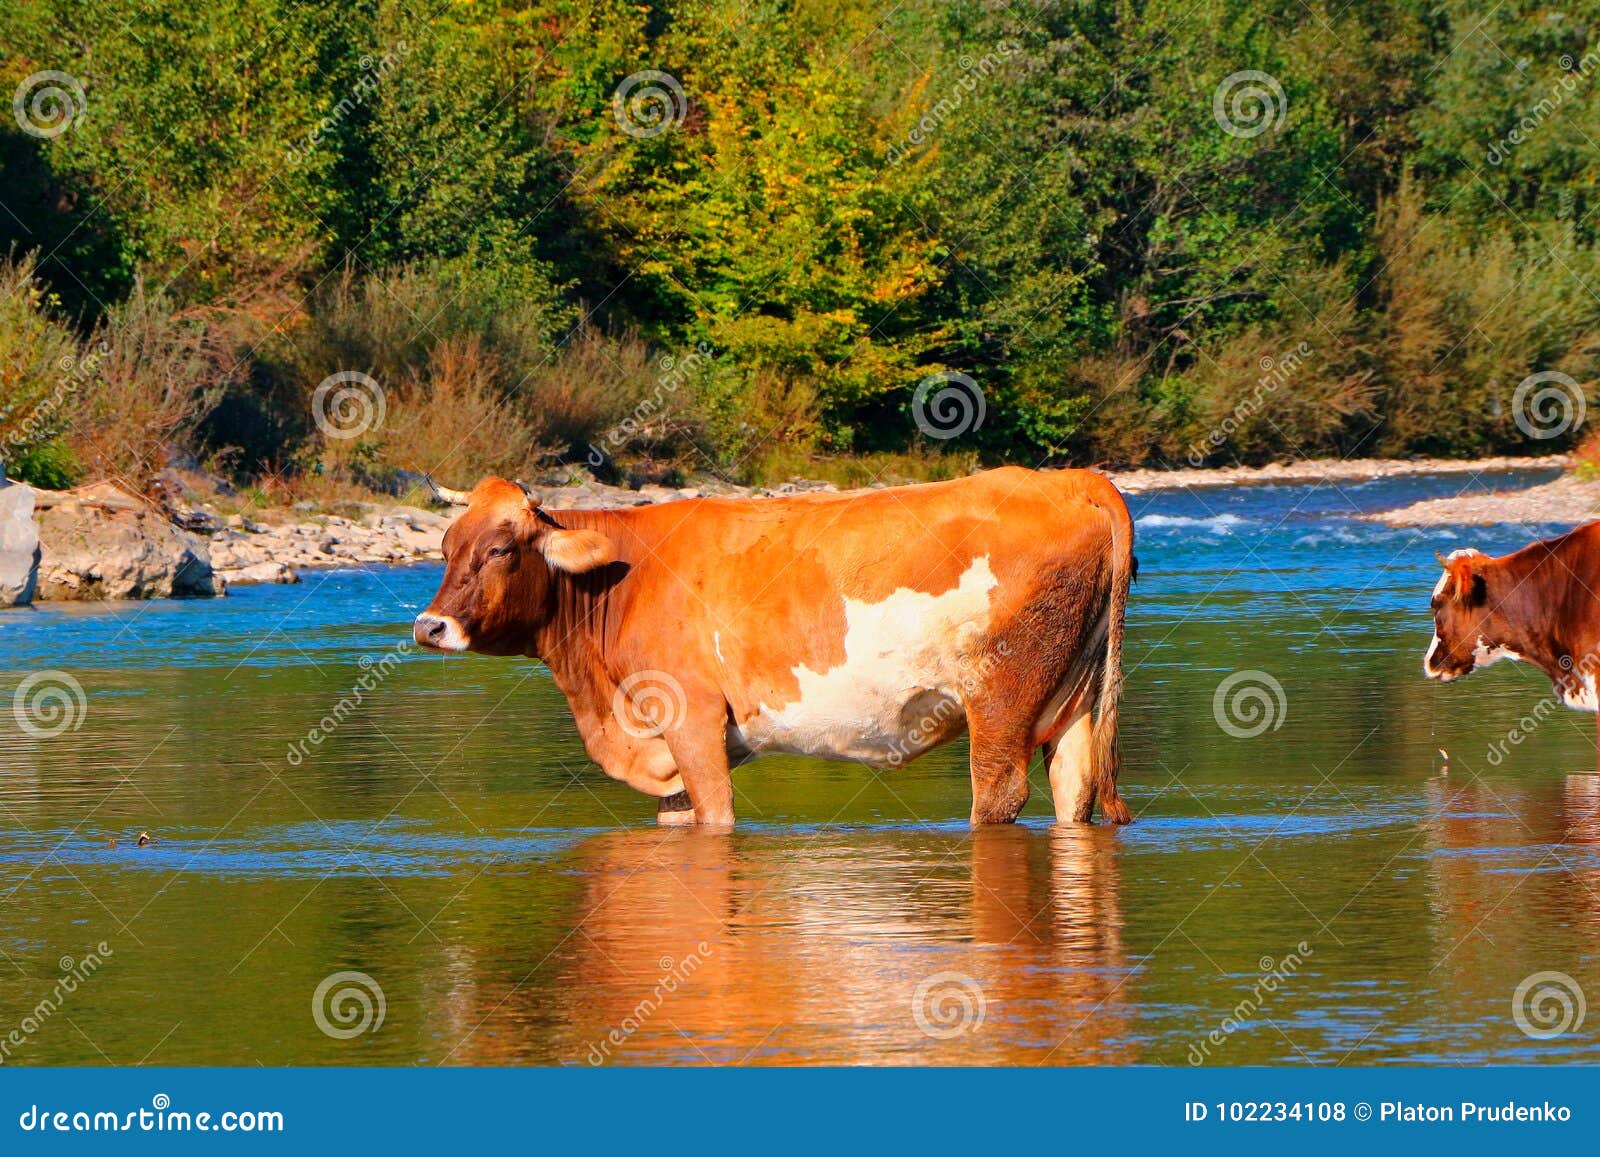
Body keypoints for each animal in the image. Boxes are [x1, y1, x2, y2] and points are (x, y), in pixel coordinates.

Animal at [413, 466, 1135, 827]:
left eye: (501, 549)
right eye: (445, 546)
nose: (429, 626)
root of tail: (1073, 477)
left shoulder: (693, 717)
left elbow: (716, 817)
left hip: (1001, 698)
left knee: (998, 794)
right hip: (1072, 700)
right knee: (1073, 792)